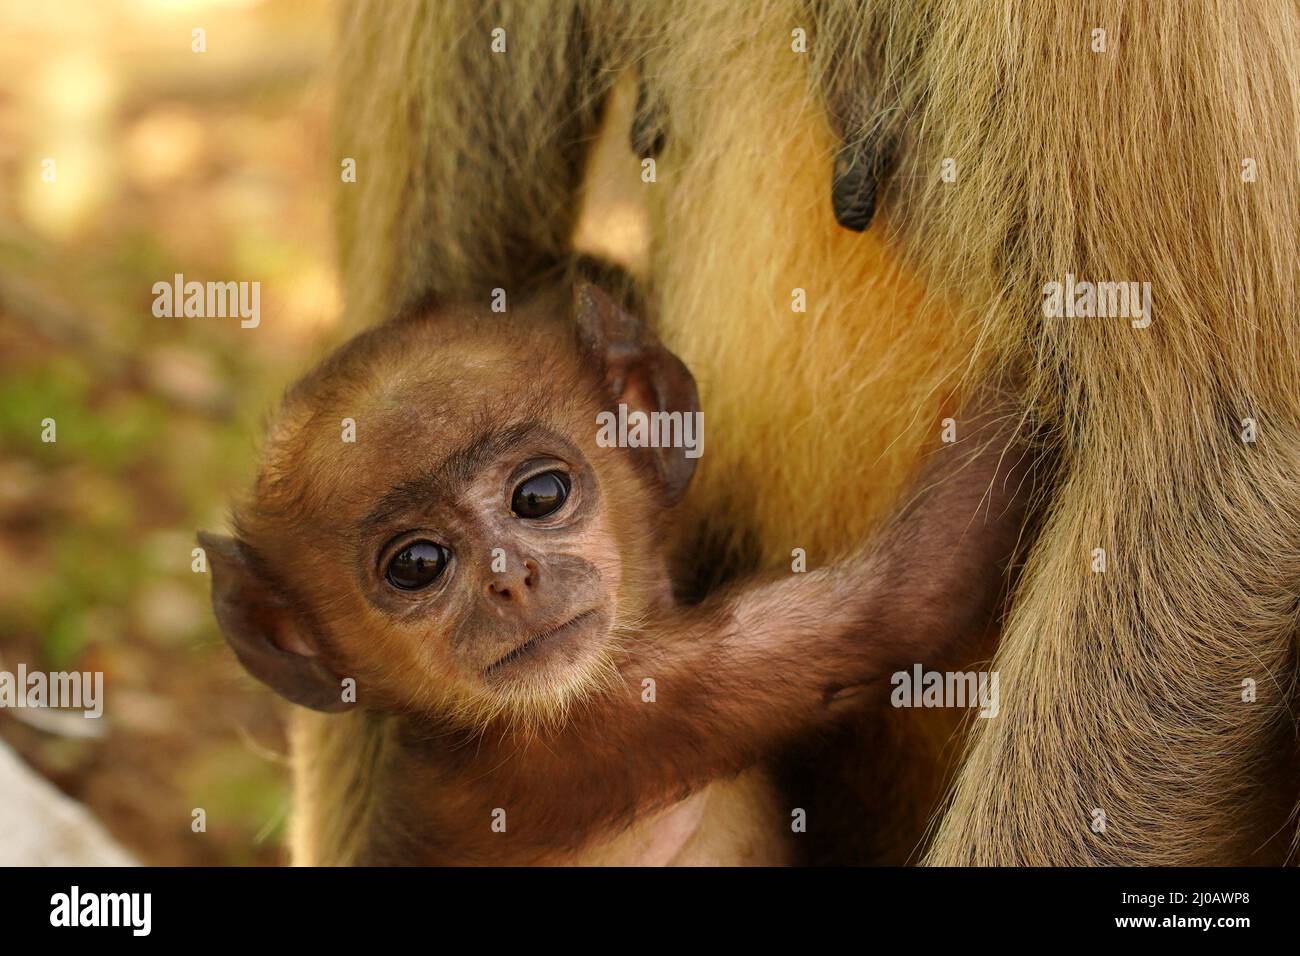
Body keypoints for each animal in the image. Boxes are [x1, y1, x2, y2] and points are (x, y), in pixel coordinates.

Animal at [201, 272, 1036, 865]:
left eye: (539, 496)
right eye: (416, 565)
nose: (511, 579)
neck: (468, 735)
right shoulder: (617, 717)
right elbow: (901, 602)